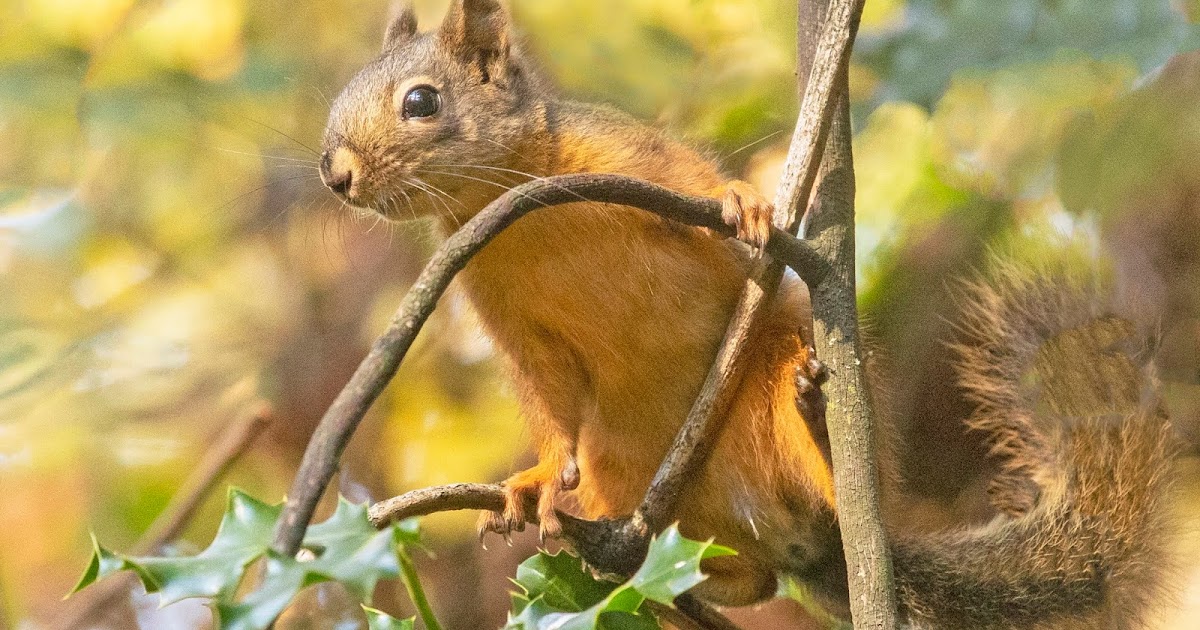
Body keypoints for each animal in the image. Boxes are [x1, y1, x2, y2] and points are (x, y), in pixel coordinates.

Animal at [316, 1, 1177, 627]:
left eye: (421, 101)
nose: (335, 173)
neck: (515, 202)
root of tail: (803, 549)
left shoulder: (630, 162)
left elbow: (696, 191)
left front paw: (745, 204)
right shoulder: (498, 308)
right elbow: (548, 397)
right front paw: (532, 482)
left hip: (782, 364)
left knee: (829, 493)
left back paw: (824, 429)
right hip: (627, 473)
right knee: (751, 579)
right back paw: (627, 566)